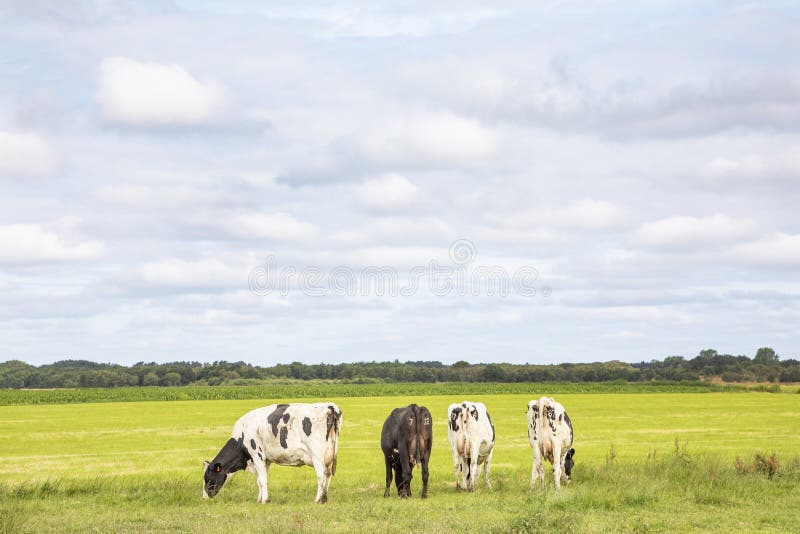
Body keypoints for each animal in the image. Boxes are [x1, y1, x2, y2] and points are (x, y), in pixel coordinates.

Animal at [203, 402, 342, 504]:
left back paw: (318, 499)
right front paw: (259, 499)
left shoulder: (257, 455)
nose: (204, 497)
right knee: (328, 474)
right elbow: (260, 480)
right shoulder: (265, 460)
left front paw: (265, 500)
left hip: (316, 455)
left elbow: (262, 480)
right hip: (328, 455)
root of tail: (329, 406)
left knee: (321, 475)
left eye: (207, 478)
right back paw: (324, 498)